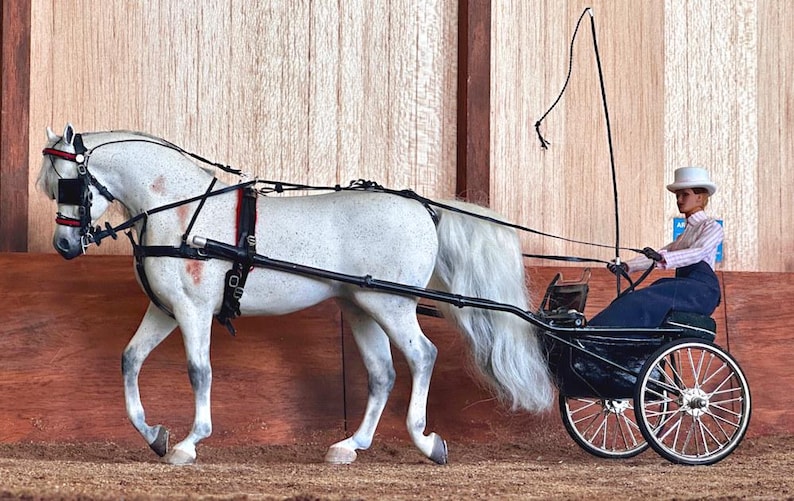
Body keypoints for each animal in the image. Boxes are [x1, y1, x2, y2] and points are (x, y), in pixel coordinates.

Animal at [37, 123, 554, 465]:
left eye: (68, 184)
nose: (63, 246)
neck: (180, 210)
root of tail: (424, 208)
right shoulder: (166, 310)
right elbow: (130, 359)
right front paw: (154, 436)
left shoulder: (192, 310)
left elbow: (199, 373)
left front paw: (187, 443)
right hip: (360, 307)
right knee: (382, 373)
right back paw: (349, 446)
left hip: (391, 304)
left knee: (422, 356)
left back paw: (427, 441)